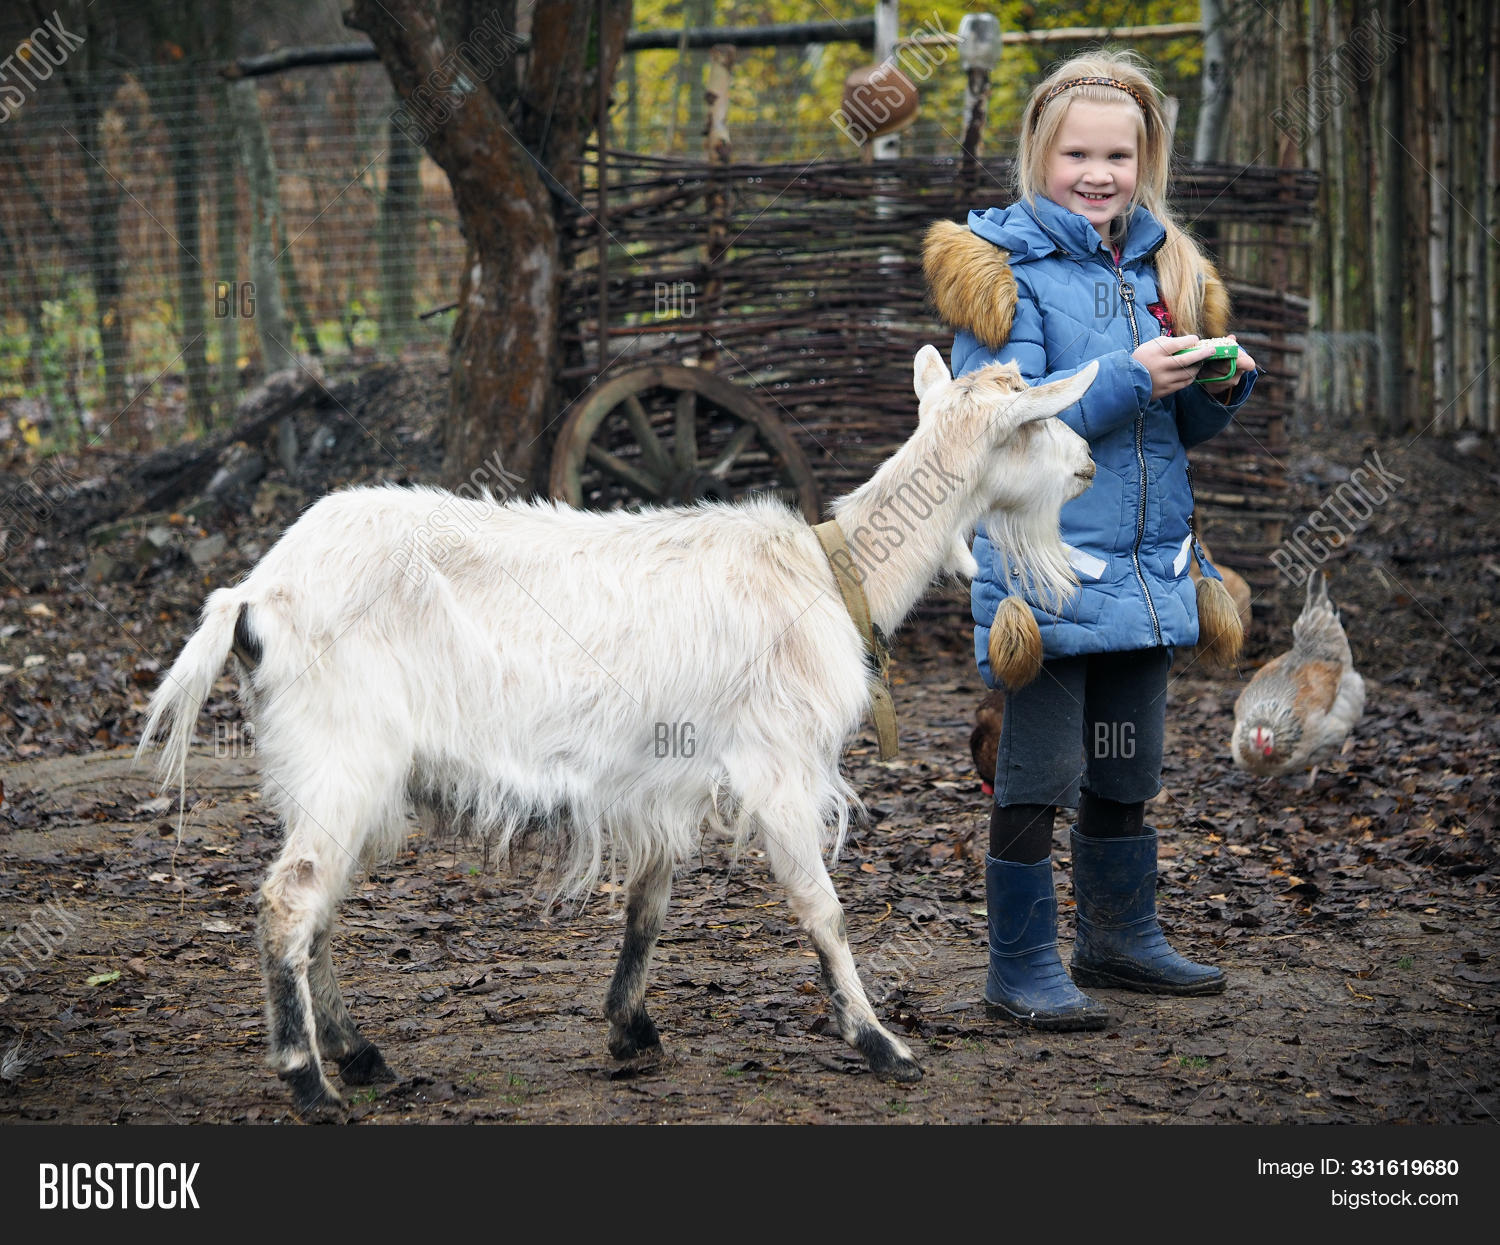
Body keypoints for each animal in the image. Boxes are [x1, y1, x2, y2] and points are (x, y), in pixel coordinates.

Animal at [138, 346, 1097, 1114]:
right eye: (1042, 421)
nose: (1090, 463)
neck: (832, 571)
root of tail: (254, 595)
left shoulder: (664, 775)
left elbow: (649, 899)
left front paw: (629, 1027)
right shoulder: (778, 761)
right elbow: (820, 905)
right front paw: (880, 1041)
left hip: (337, 773)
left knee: (319, 908)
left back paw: (359, 1053)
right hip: (345, 753)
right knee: (290, 900)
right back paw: (308, 1079)